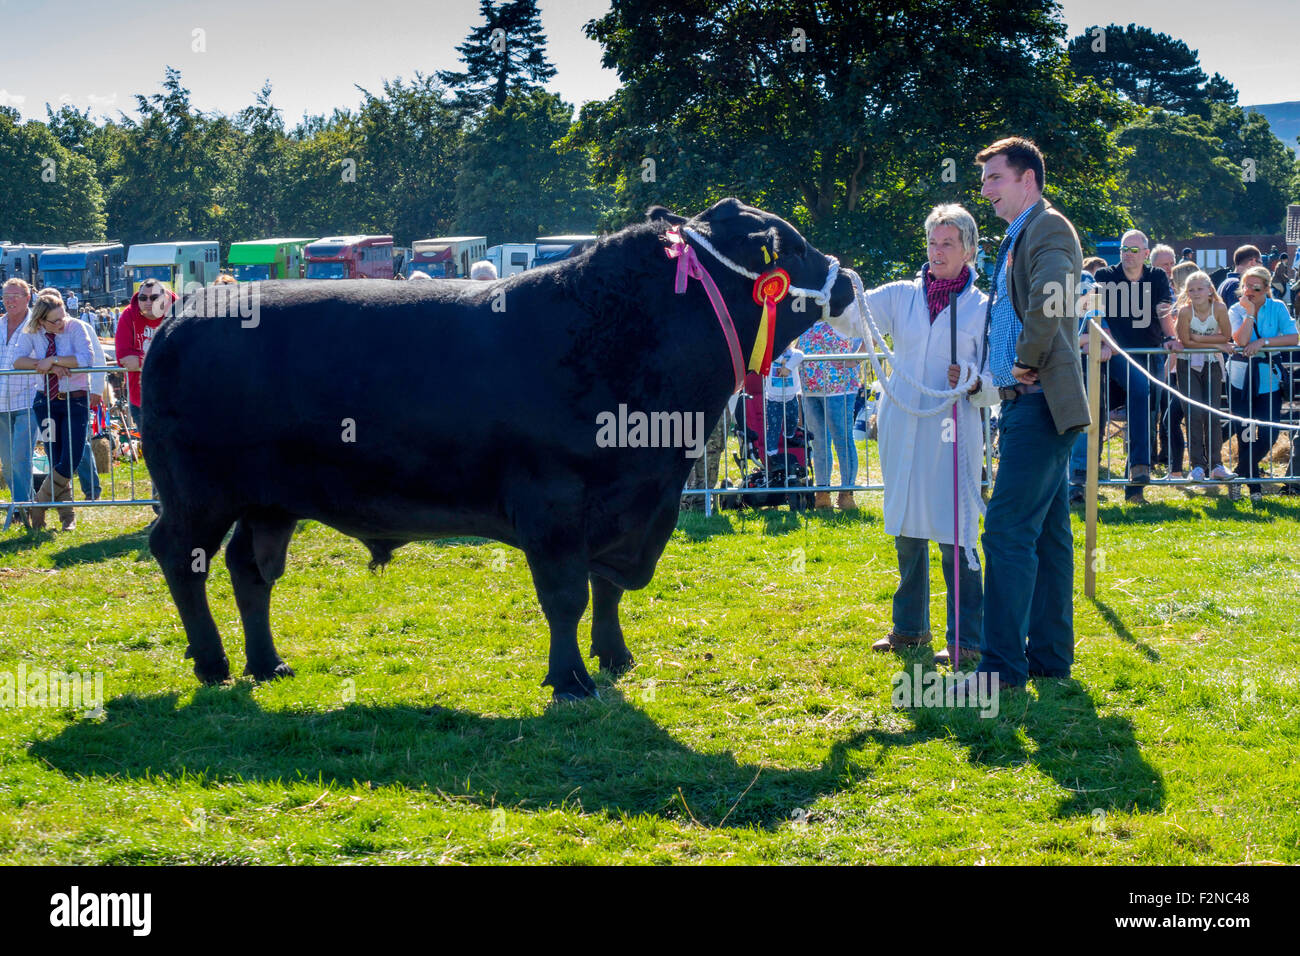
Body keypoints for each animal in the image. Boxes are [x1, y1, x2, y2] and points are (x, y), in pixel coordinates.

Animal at [143, 199, 856, 700]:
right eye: (789, 244)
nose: (848, 276)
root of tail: (186, 311)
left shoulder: (631, 505)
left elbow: (608, 590)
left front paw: (615, 656)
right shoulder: (555, 503)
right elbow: (567, 595)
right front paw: (571, 679)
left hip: (270, 500)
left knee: (250, 569)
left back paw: (267, 663)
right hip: (198, 492)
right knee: (181, 556)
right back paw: (213, 662)